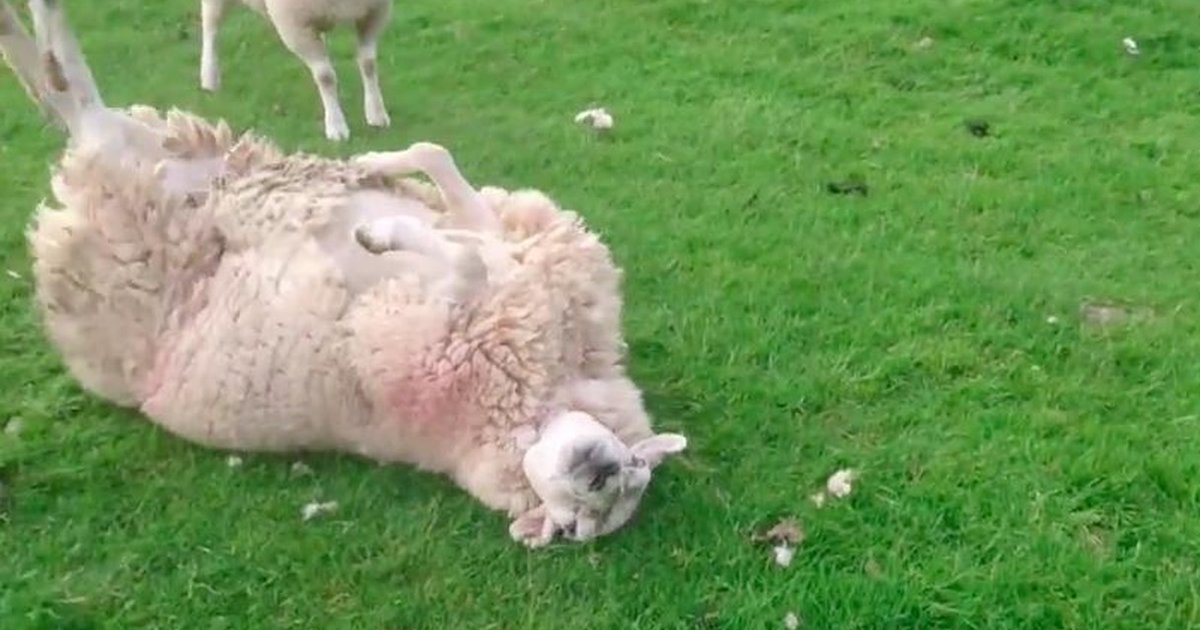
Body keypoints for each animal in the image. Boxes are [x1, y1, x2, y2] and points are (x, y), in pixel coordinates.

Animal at [199, 0, 393, 141]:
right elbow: (325, 76)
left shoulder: (374, 13)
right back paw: (209, 77)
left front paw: (376, 114)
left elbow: (368, 64)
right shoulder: (295, 24)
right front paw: (336, 126)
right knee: (210, 26)